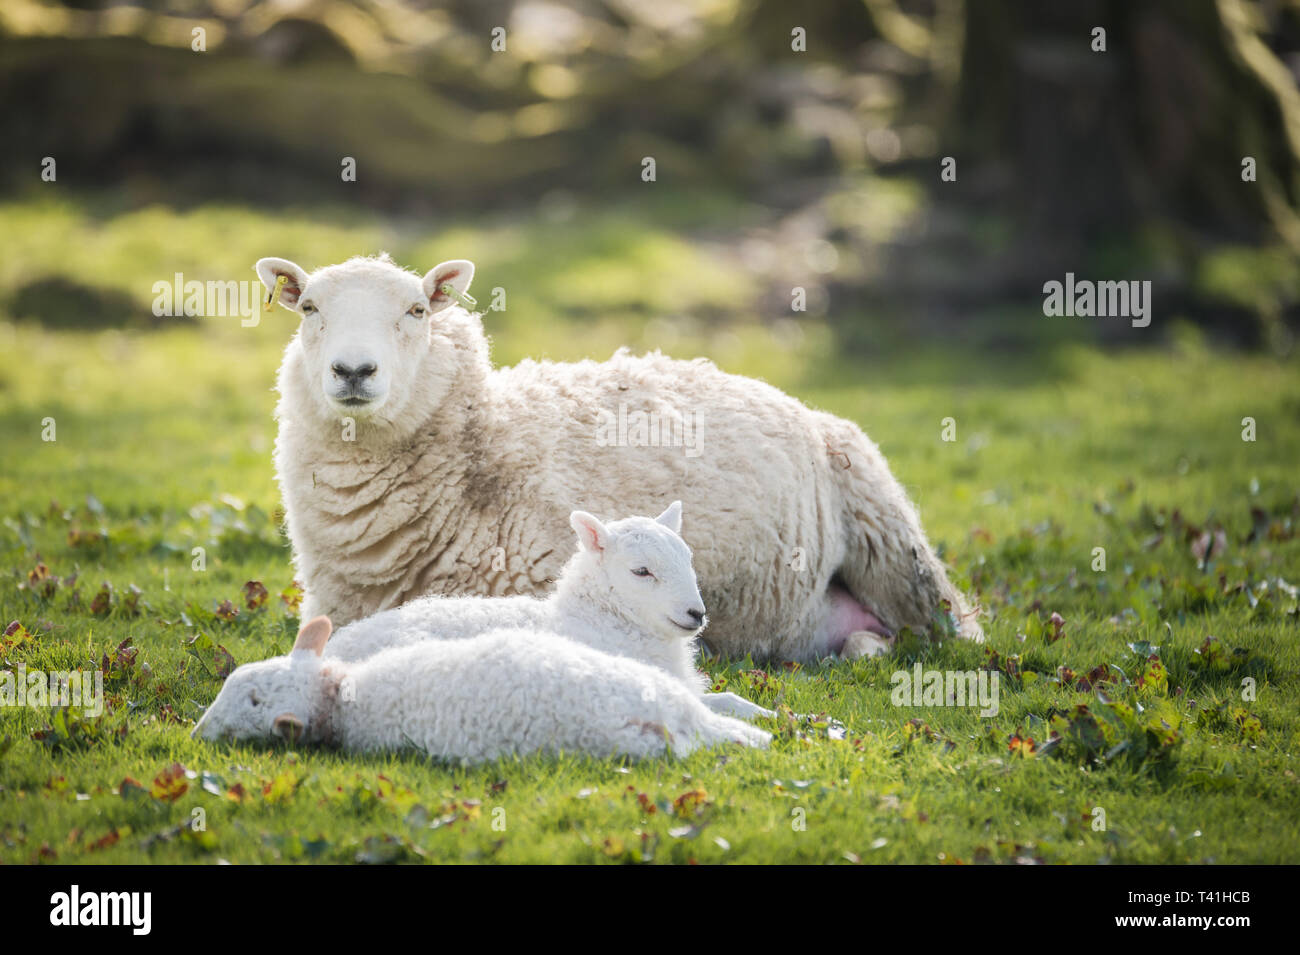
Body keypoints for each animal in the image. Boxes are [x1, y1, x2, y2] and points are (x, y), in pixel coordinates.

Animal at [192, 616, 773, 762]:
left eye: (251, 703)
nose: (196, 735)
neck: (341, 692)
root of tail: (662, 718)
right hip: (669, 701)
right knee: (728, 730)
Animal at [322, 500, 774, 720]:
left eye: (688, 558)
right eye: (641, 571)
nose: (697, 614)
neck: (598, 619)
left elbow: (731, 700)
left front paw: (780, 716)